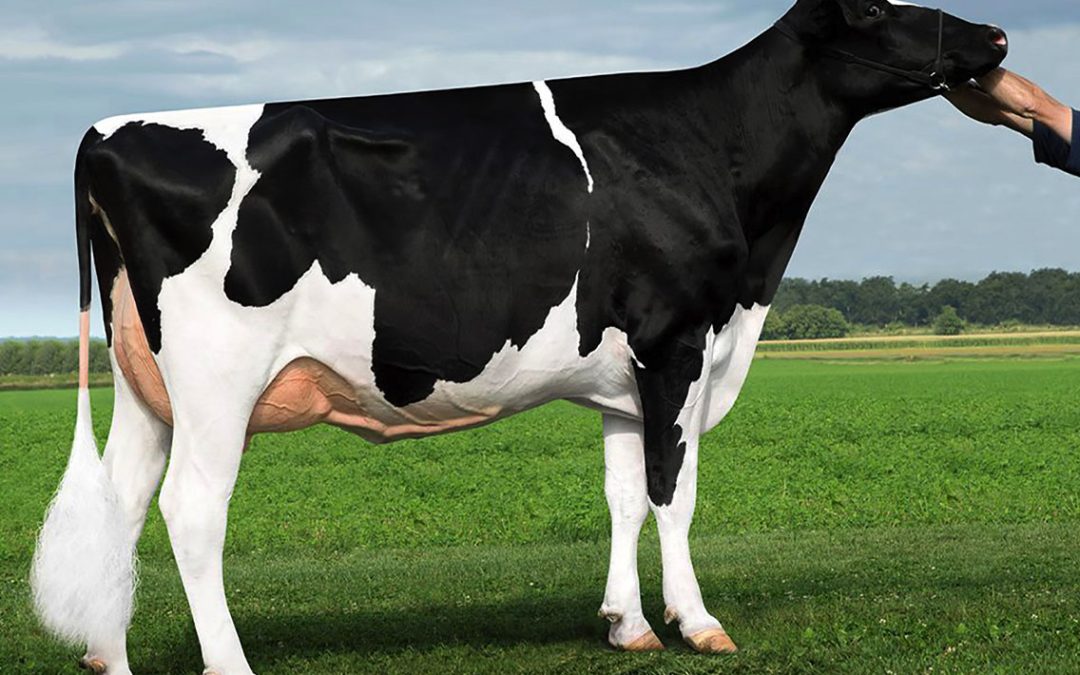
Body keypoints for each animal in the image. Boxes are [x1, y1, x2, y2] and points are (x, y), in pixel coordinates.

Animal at [31, 1, 1008, 673]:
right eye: (876, 8)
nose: (995, 36)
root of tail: (103, 132)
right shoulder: (677, 344)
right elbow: (673, 492)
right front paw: (697, 622)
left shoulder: (621, 370)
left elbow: (622, 495)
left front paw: (627, 624)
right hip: (216, 380)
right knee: (192, 510)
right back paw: (228, 662)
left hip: (146, 385)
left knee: (122, 500)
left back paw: (109, 655)